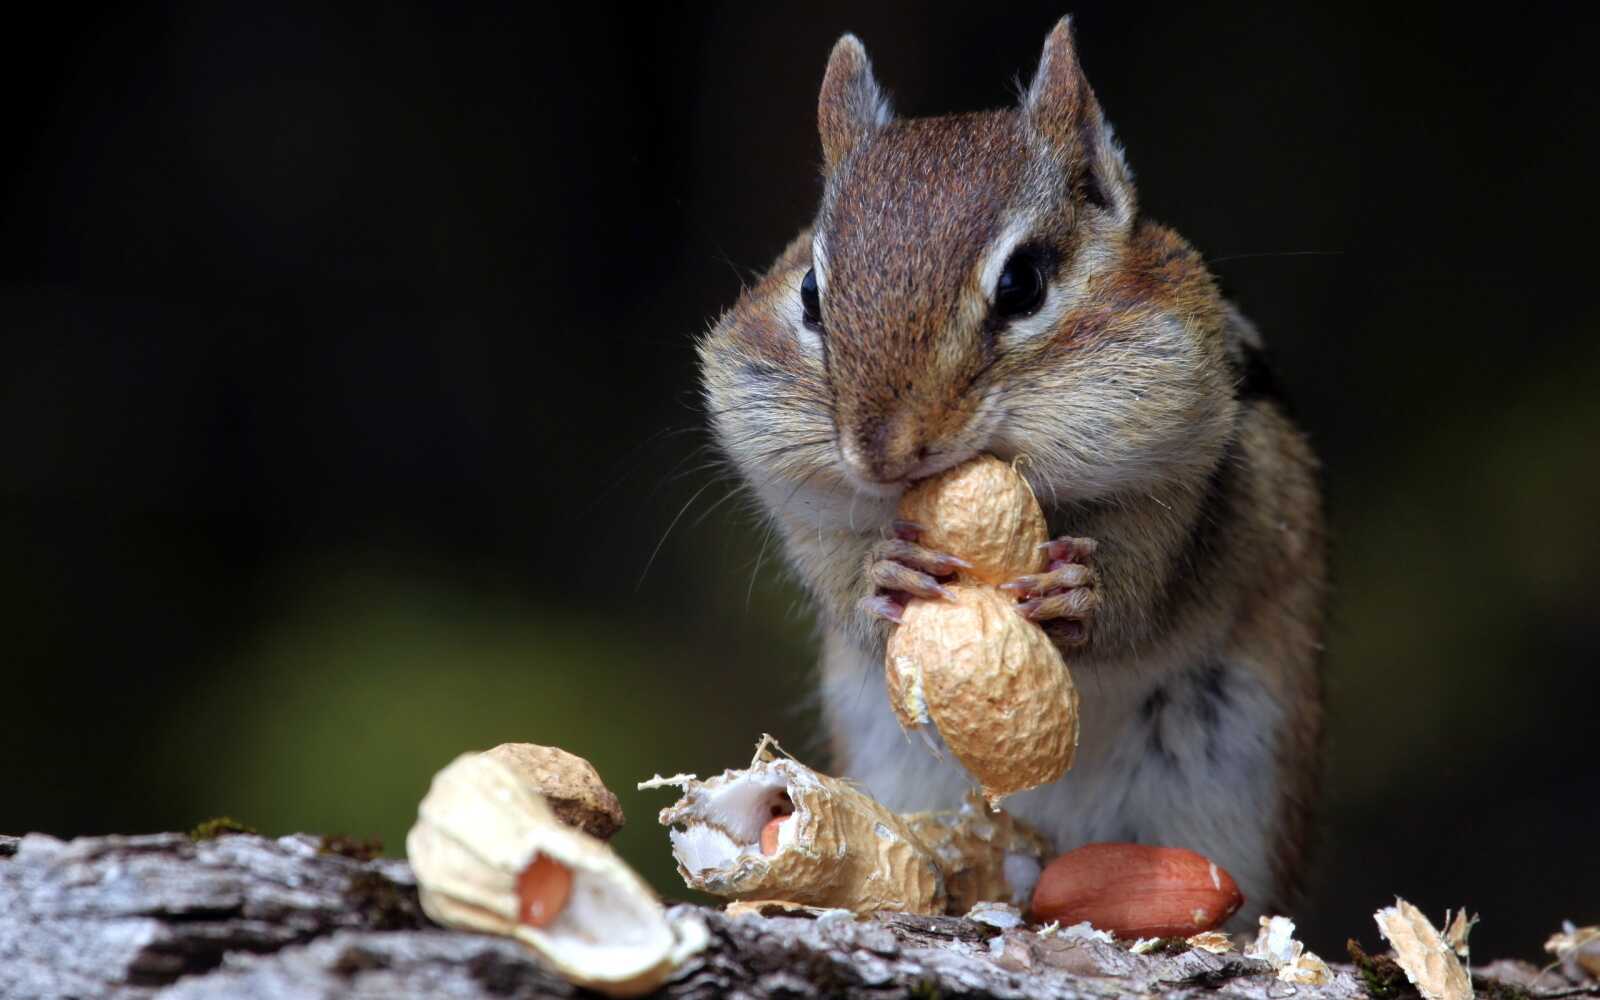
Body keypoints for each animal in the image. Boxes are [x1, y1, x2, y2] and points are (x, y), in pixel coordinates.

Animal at [697, 17, 1326, 921]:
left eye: (1023, 283)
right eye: (812, 293)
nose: (882, 453)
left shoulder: (1198, 482)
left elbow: (1152, 589)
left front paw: (1079, 592)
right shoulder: (804, 505)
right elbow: (843, 579)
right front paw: (885, 573)